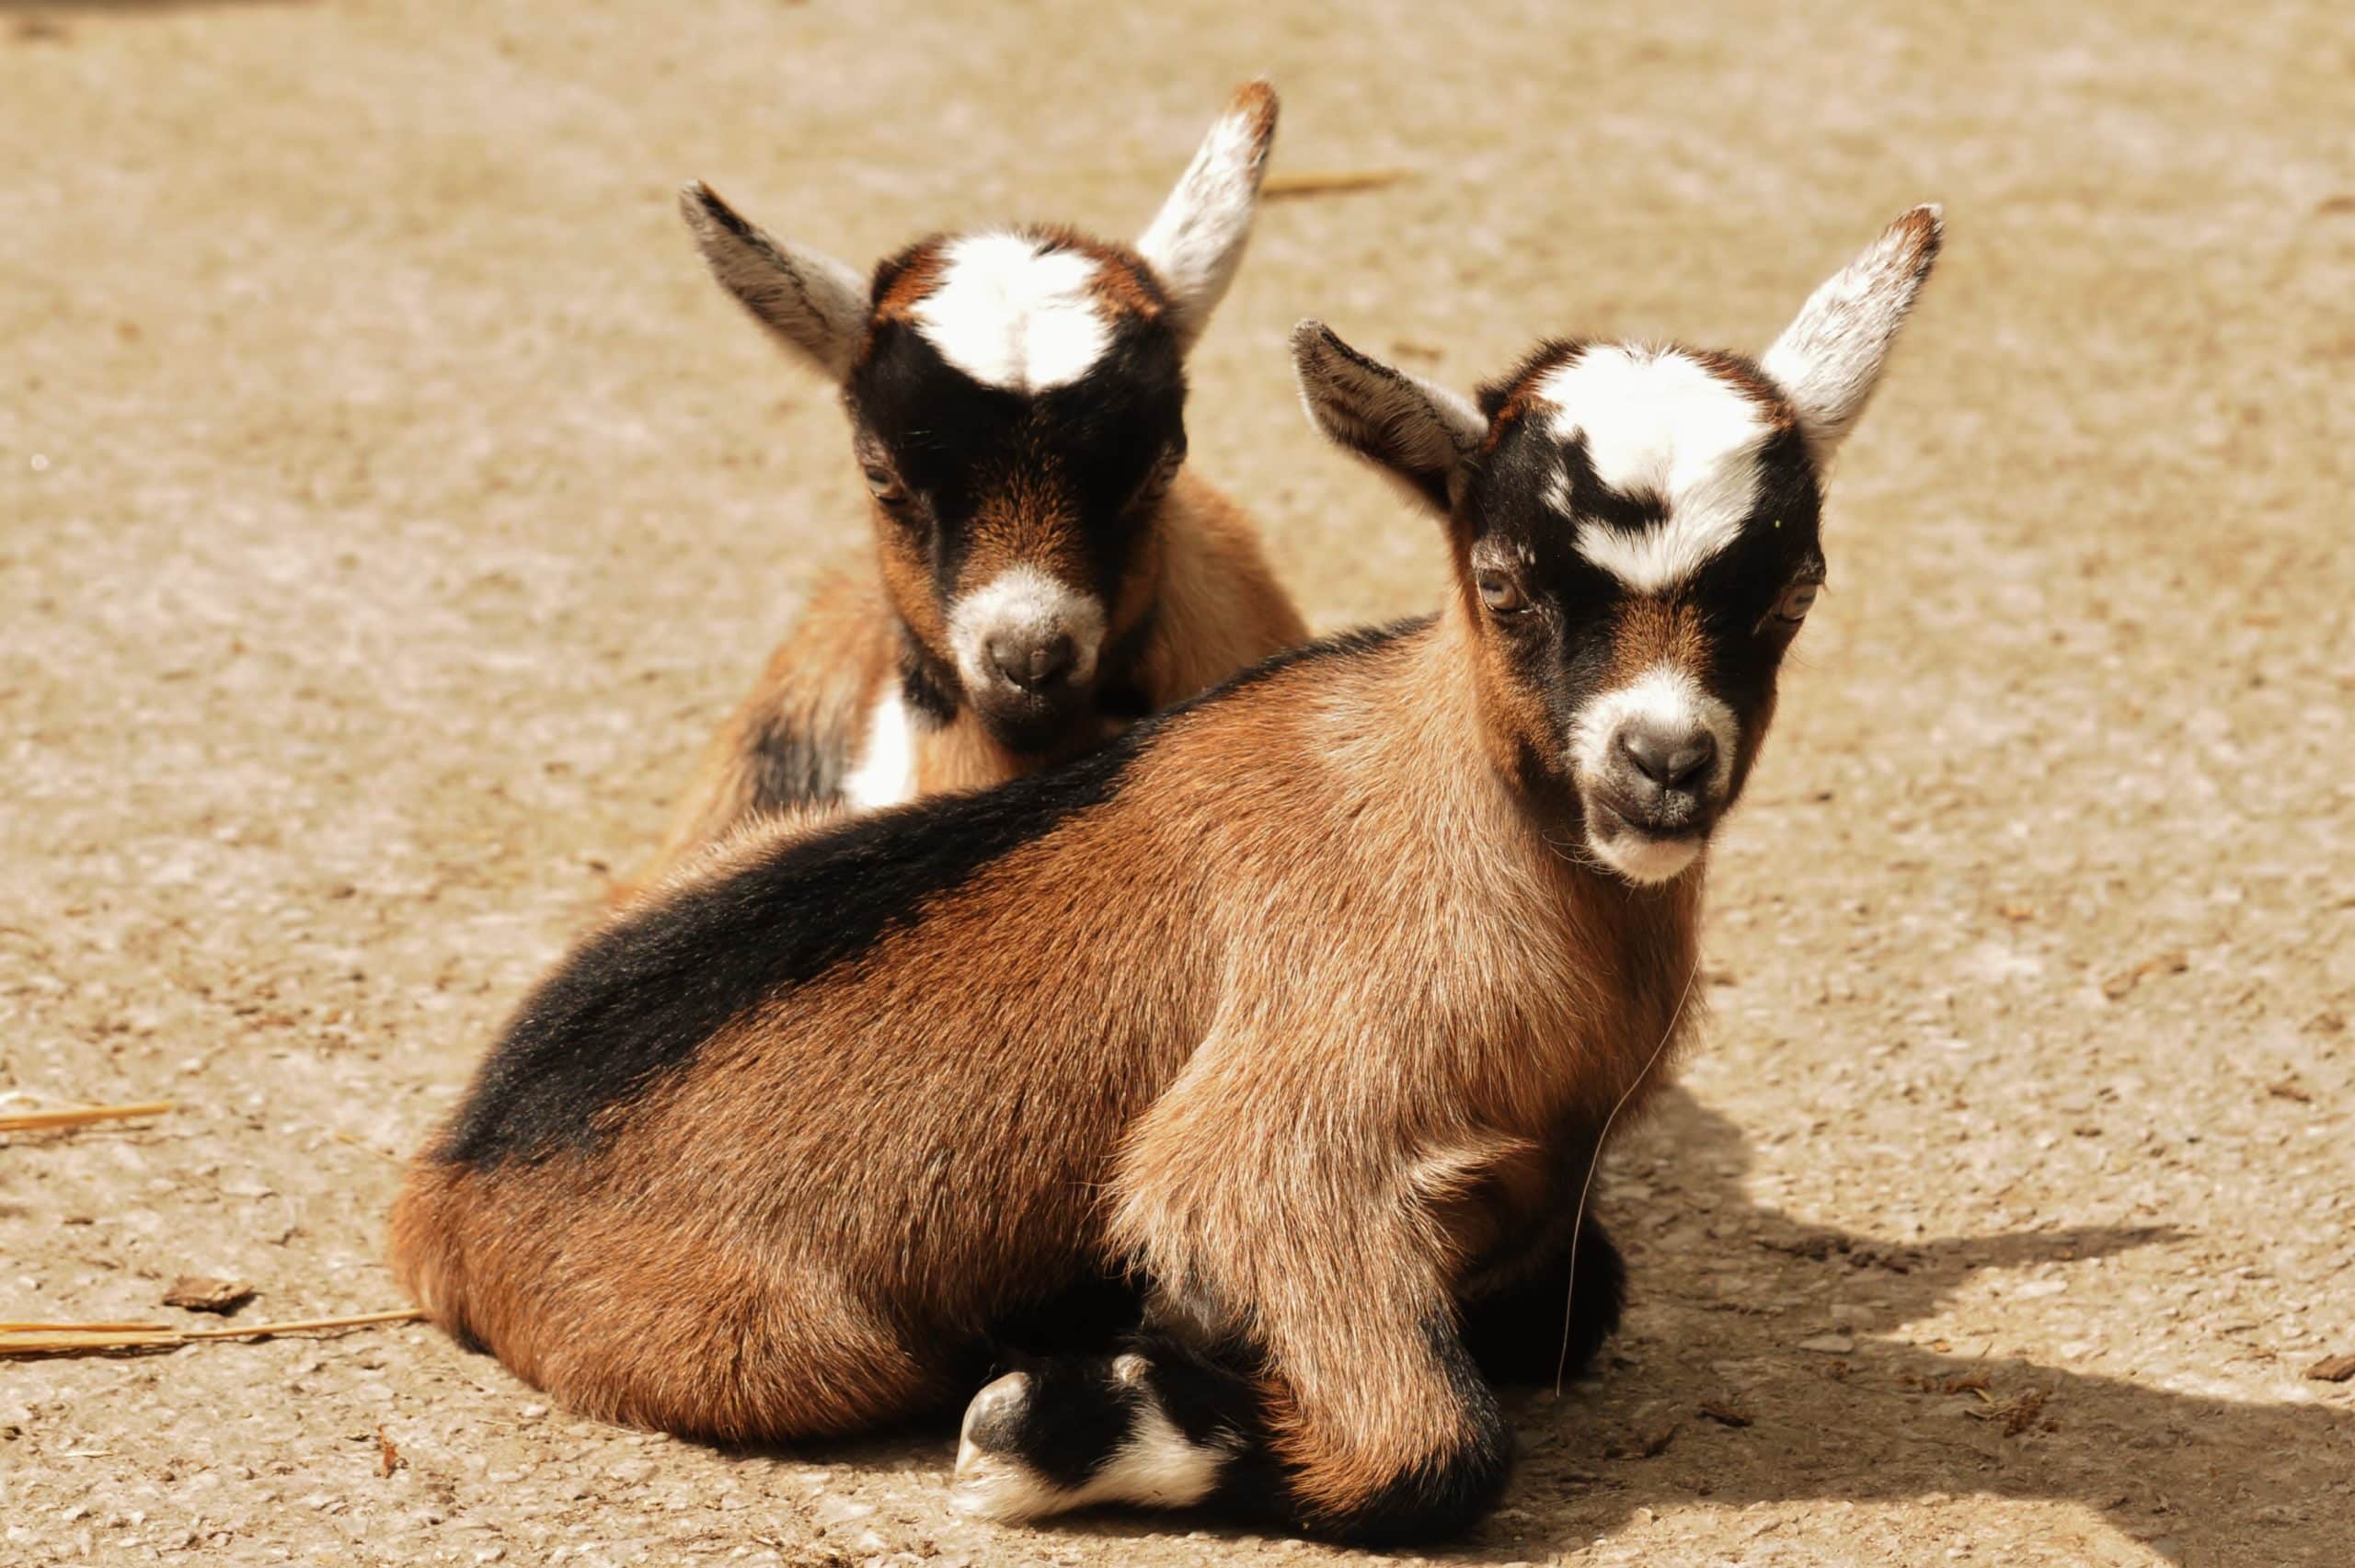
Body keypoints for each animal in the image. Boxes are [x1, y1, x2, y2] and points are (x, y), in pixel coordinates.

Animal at [389, 207, 1942, 1544]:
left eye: (1794, 586)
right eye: (1504, 581)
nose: (1663, 764)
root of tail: (453, 1182)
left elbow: (1567, 1302)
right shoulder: (1276, 1138)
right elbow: (1433, 1441)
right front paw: (1050, 1424)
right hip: (787, 1340)